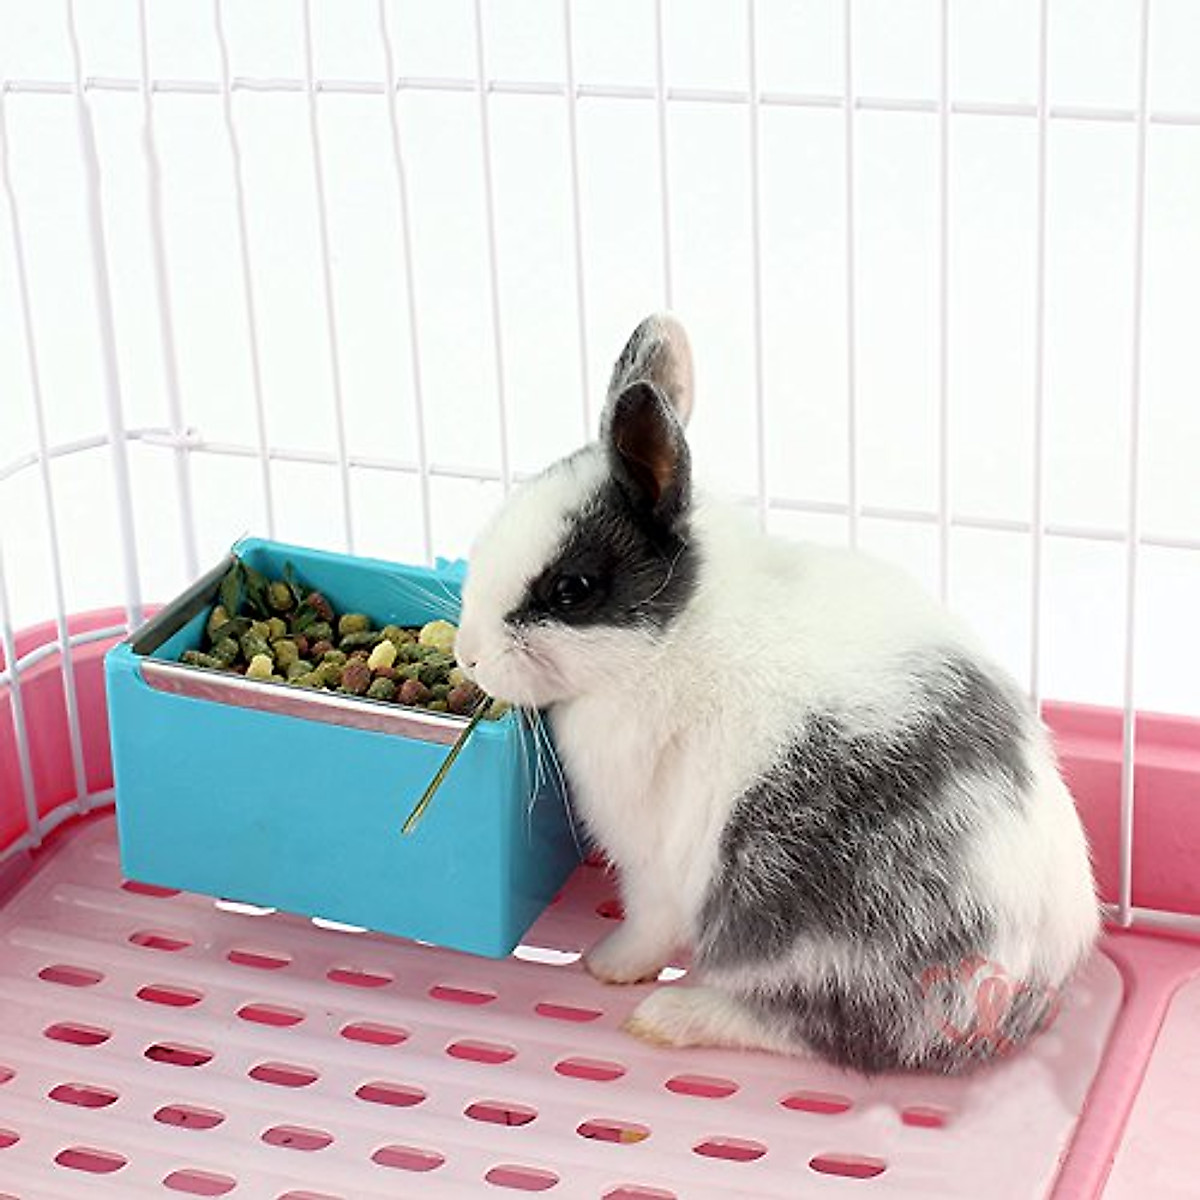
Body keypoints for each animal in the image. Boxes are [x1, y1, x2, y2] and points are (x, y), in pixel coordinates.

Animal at [455, 313, 1100, 1073]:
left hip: (802, 928)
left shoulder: (652, 861)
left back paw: (671, 1016)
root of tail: (1022, 984)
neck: (674, 636)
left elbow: (650, 925)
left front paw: (608, 966)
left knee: (818, 1028)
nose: (468, 655)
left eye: (572, 590)